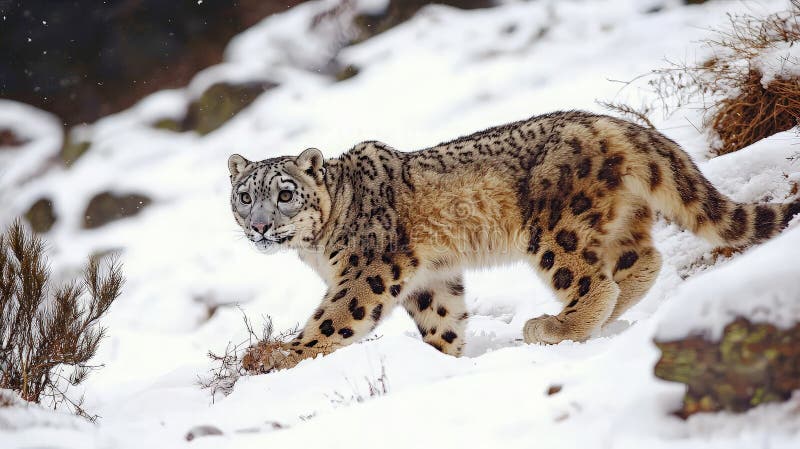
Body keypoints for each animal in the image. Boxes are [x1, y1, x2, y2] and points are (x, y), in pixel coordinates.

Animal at [228, 110, 800, 373]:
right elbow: (443, 321)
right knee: (640, 264)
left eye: (284, 194)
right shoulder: (431, 277)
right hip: (619, 220)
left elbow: (335, 318)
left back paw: (552, 326)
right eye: (244, 196)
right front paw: (444, 361)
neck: (316, 249)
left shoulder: (368, 267)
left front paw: (277, 359)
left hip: (556, 228)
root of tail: (612, 123)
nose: (258, 226)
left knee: (596, 281)